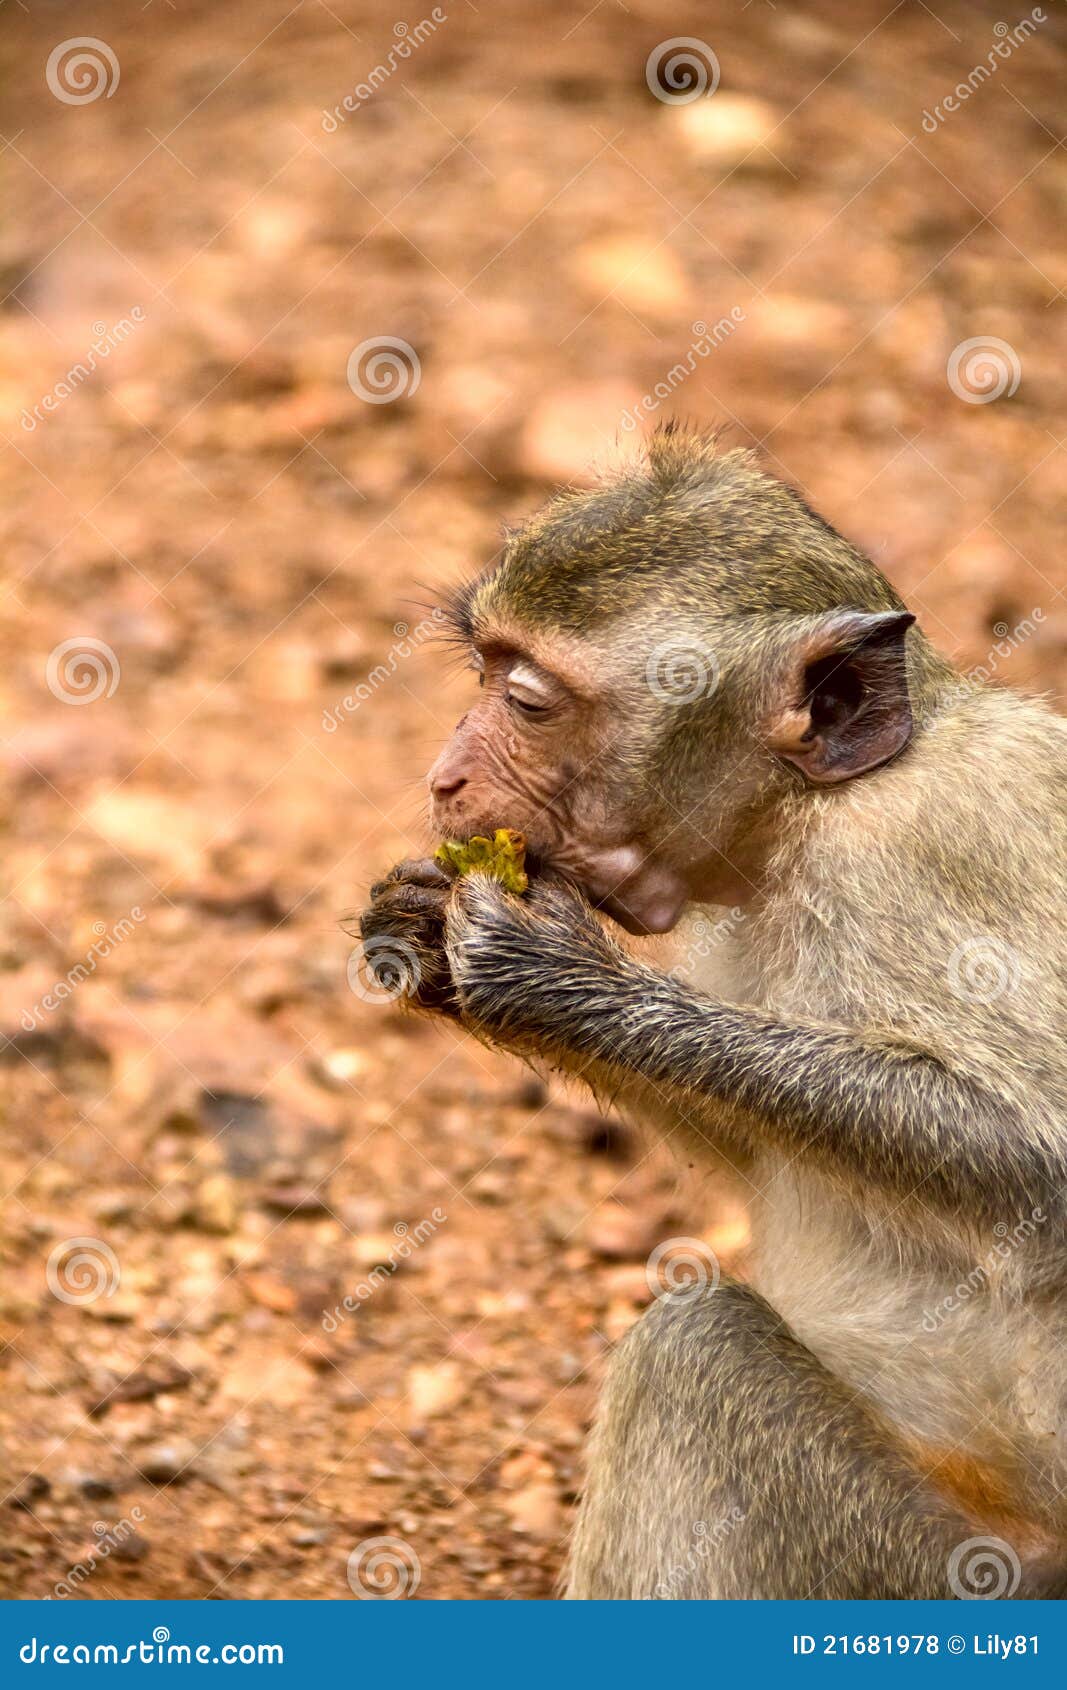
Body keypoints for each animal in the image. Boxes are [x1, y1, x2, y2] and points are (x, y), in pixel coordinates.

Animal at [358, 427, 1067, 1600]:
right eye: (485, 671)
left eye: (529, 701)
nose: (442, 776)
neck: (810, 813)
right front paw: (427, 932)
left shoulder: (936, 842)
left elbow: (1036, 1166)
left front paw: (546, 975)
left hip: (938, 1576)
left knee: (691, 1354)